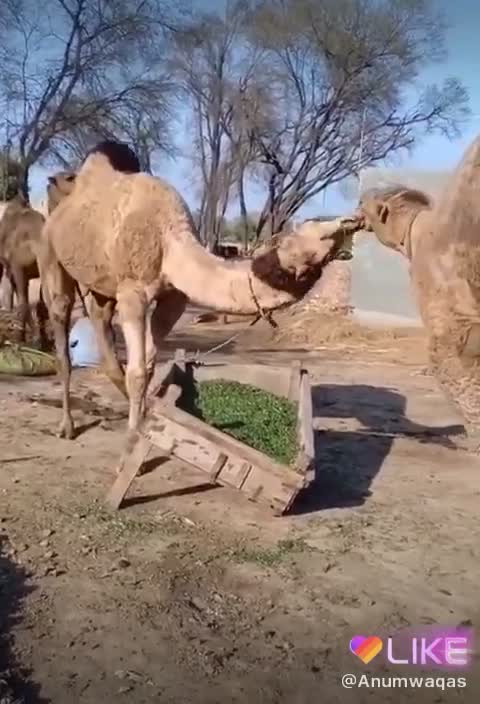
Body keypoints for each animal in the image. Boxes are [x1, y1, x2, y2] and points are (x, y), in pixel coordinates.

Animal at [39, 140, 364, 449]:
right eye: (318, 236)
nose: (352, 220)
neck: (170, 240)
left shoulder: (174, 299)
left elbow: (150, 360)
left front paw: (145, 421)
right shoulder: (133, 292)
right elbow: (138, 370)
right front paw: (133, 436)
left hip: (100, 282)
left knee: (100, 323)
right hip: (52, 253)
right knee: (62, 327)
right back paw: (66, 426)